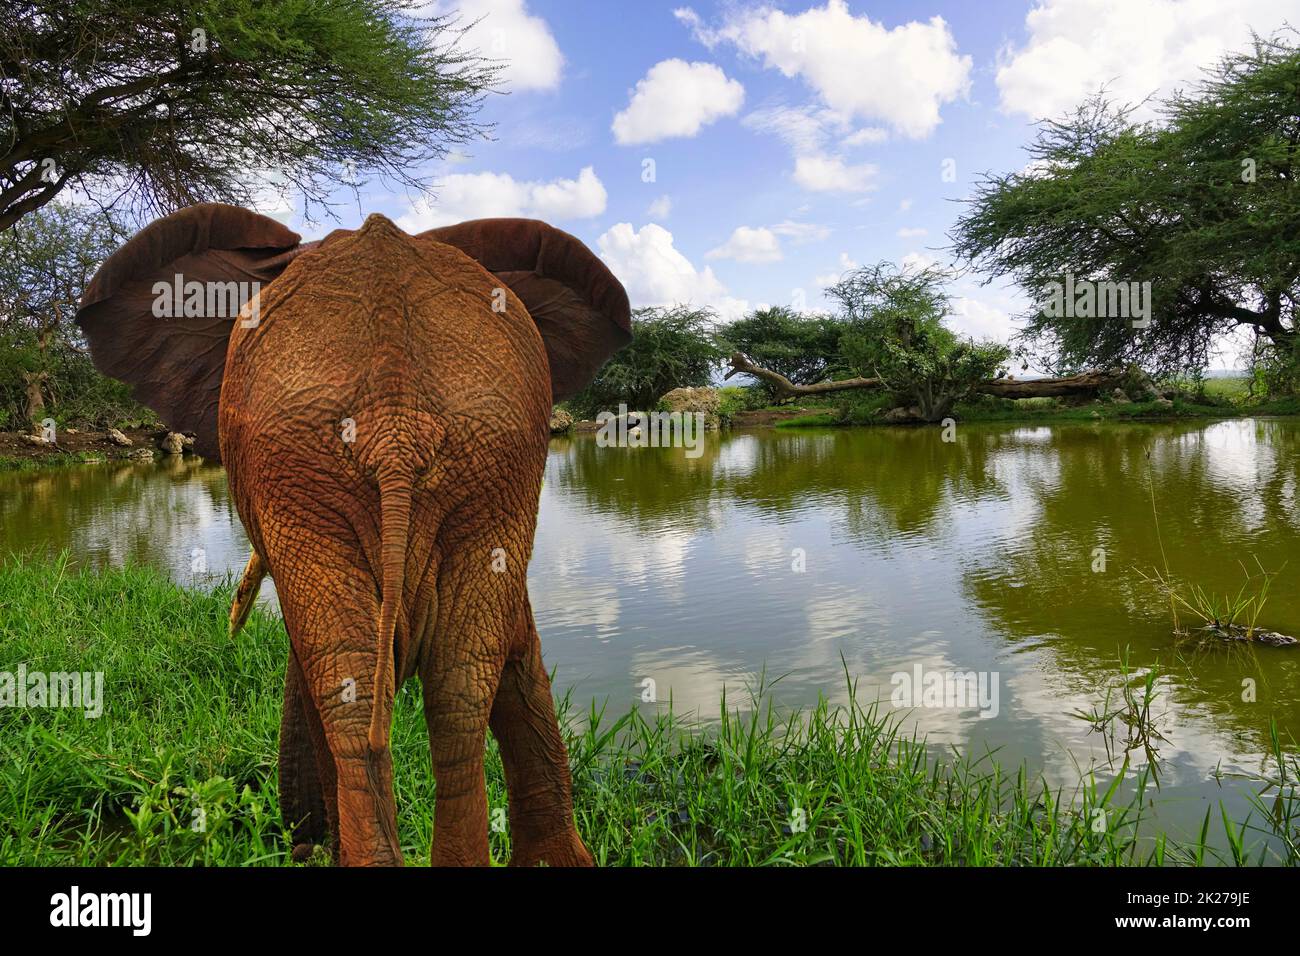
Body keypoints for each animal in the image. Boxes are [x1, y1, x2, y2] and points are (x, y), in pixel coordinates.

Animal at [75, 203, 631, 866]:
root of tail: (395, 419)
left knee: (378, 690)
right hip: (447, 456)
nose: (300, 840)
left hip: (420, 455)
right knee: (442, 688)